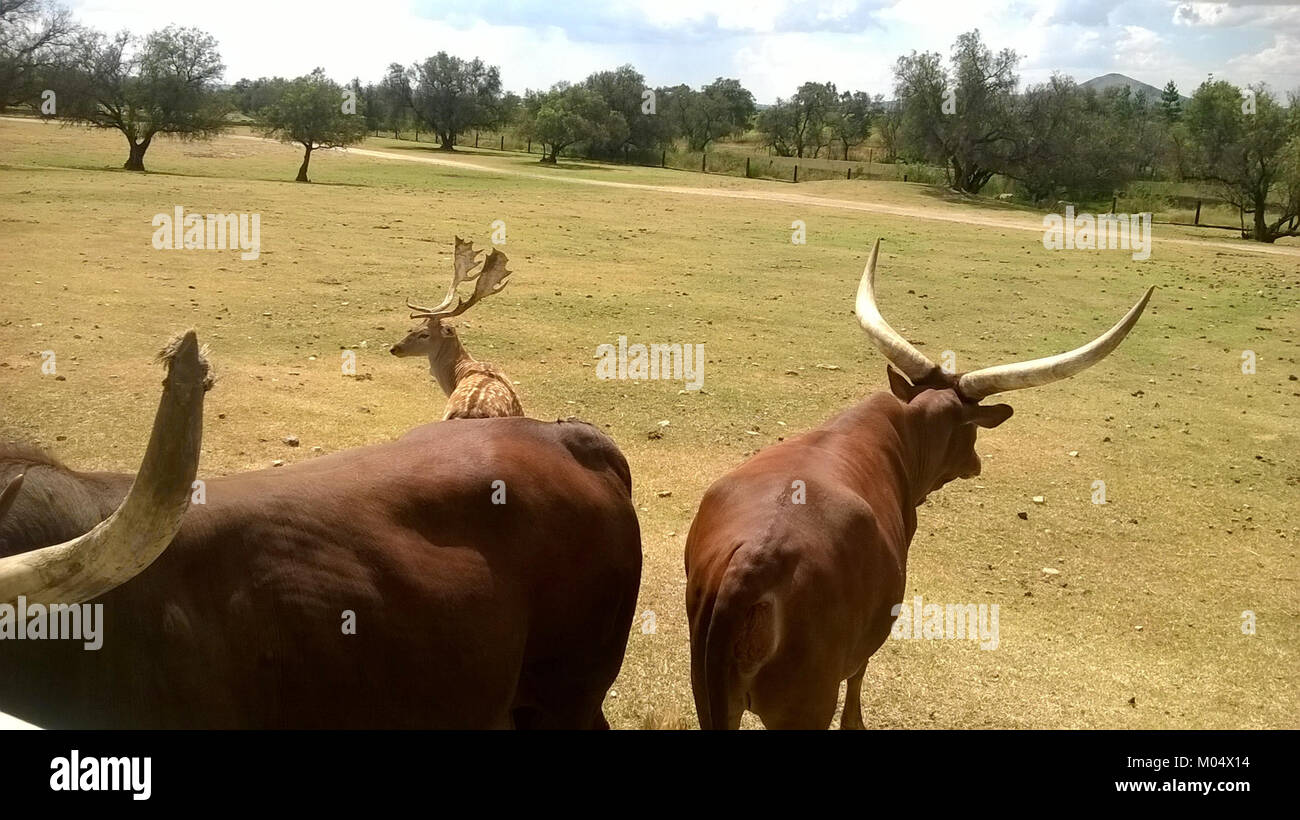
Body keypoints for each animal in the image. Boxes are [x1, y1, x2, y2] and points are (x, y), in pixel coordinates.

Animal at [685, 240, 1153, 729]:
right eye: (971, 429)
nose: (976, 463)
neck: (900, 433)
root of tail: (751, 566)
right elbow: (859, 675)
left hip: (710, 697)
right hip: (803, 707)